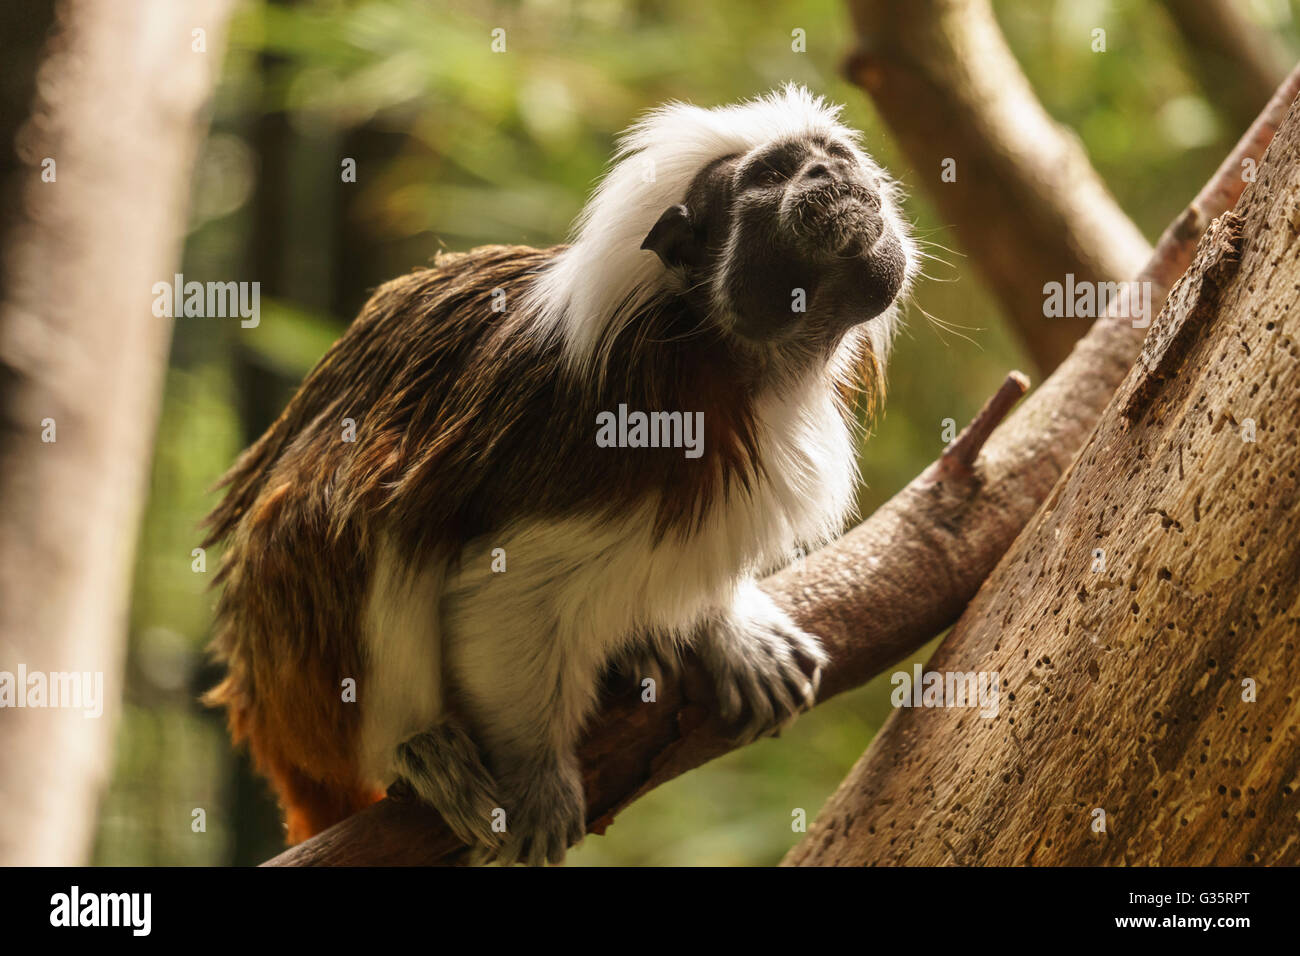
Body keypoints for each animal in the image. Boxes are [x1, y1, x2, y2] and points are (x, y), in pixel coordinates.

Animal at [203, 84, 916, 865]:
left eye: (833, 155)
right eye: (775, 174)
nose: (829, 175)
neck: (742, 364)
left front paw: (730, 627)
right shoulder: (596, 451)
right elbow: (502, 590)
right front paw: (535, 779)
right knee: (357, 507)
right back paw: (416, 750)